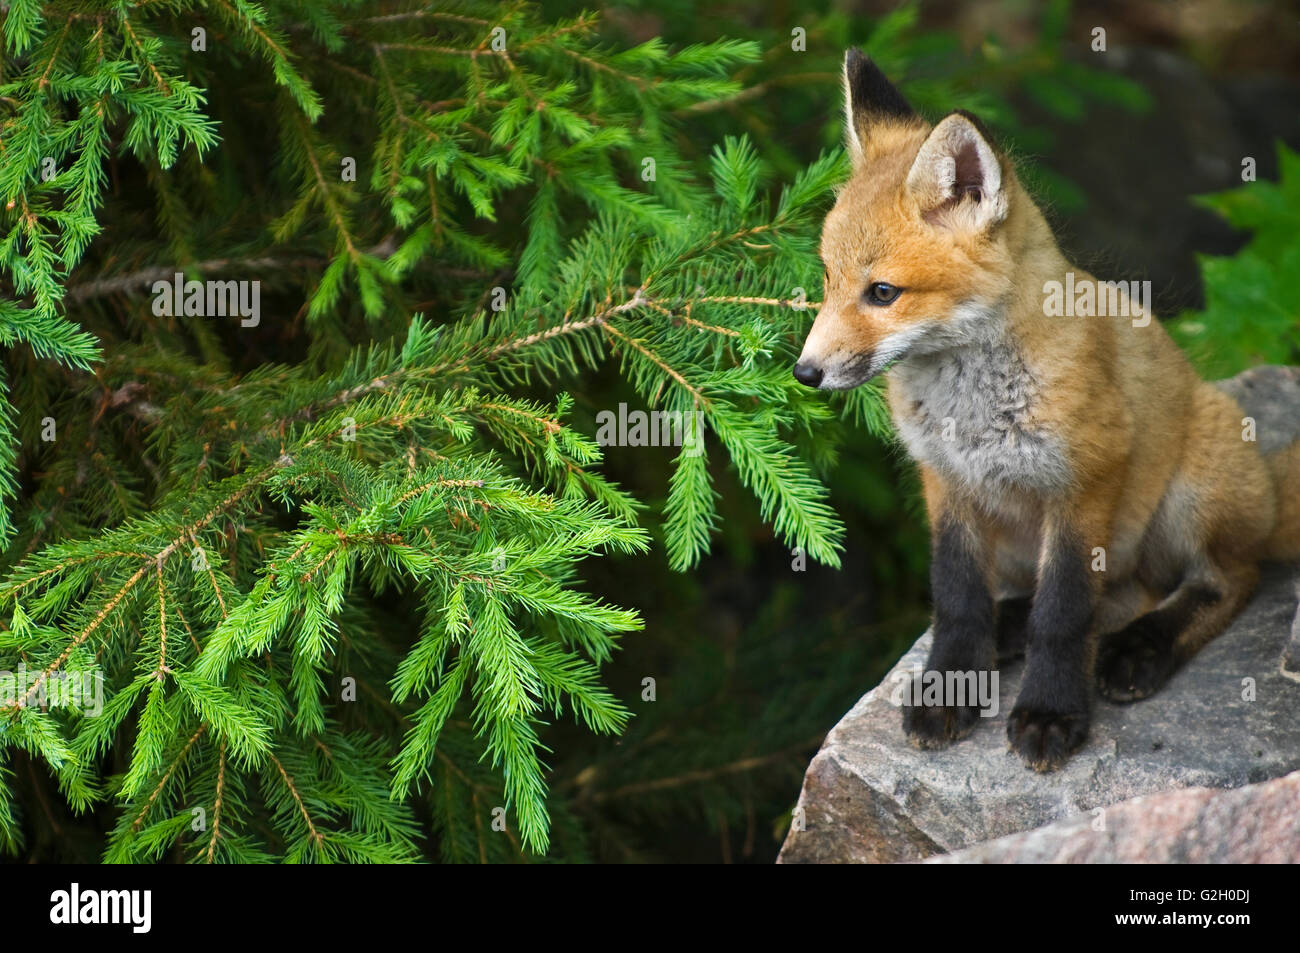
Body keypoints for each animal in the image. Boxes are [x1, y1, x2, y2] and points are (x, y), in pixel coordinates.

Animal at [794, 49, 1300, 772]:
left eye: (883, 293)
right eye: (829, 280)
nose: (804, 372)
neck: (972, 412)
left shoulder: (1084, 482)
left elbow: (1063, 614)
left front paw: (1051, 712)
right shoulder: (946, 482)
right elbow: (956, 599)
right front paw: (953, 684)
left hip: (1192, 494)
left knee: (1222, 581)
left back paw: (1140, 649)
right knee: (1116, 594)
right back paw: (1015, 630)